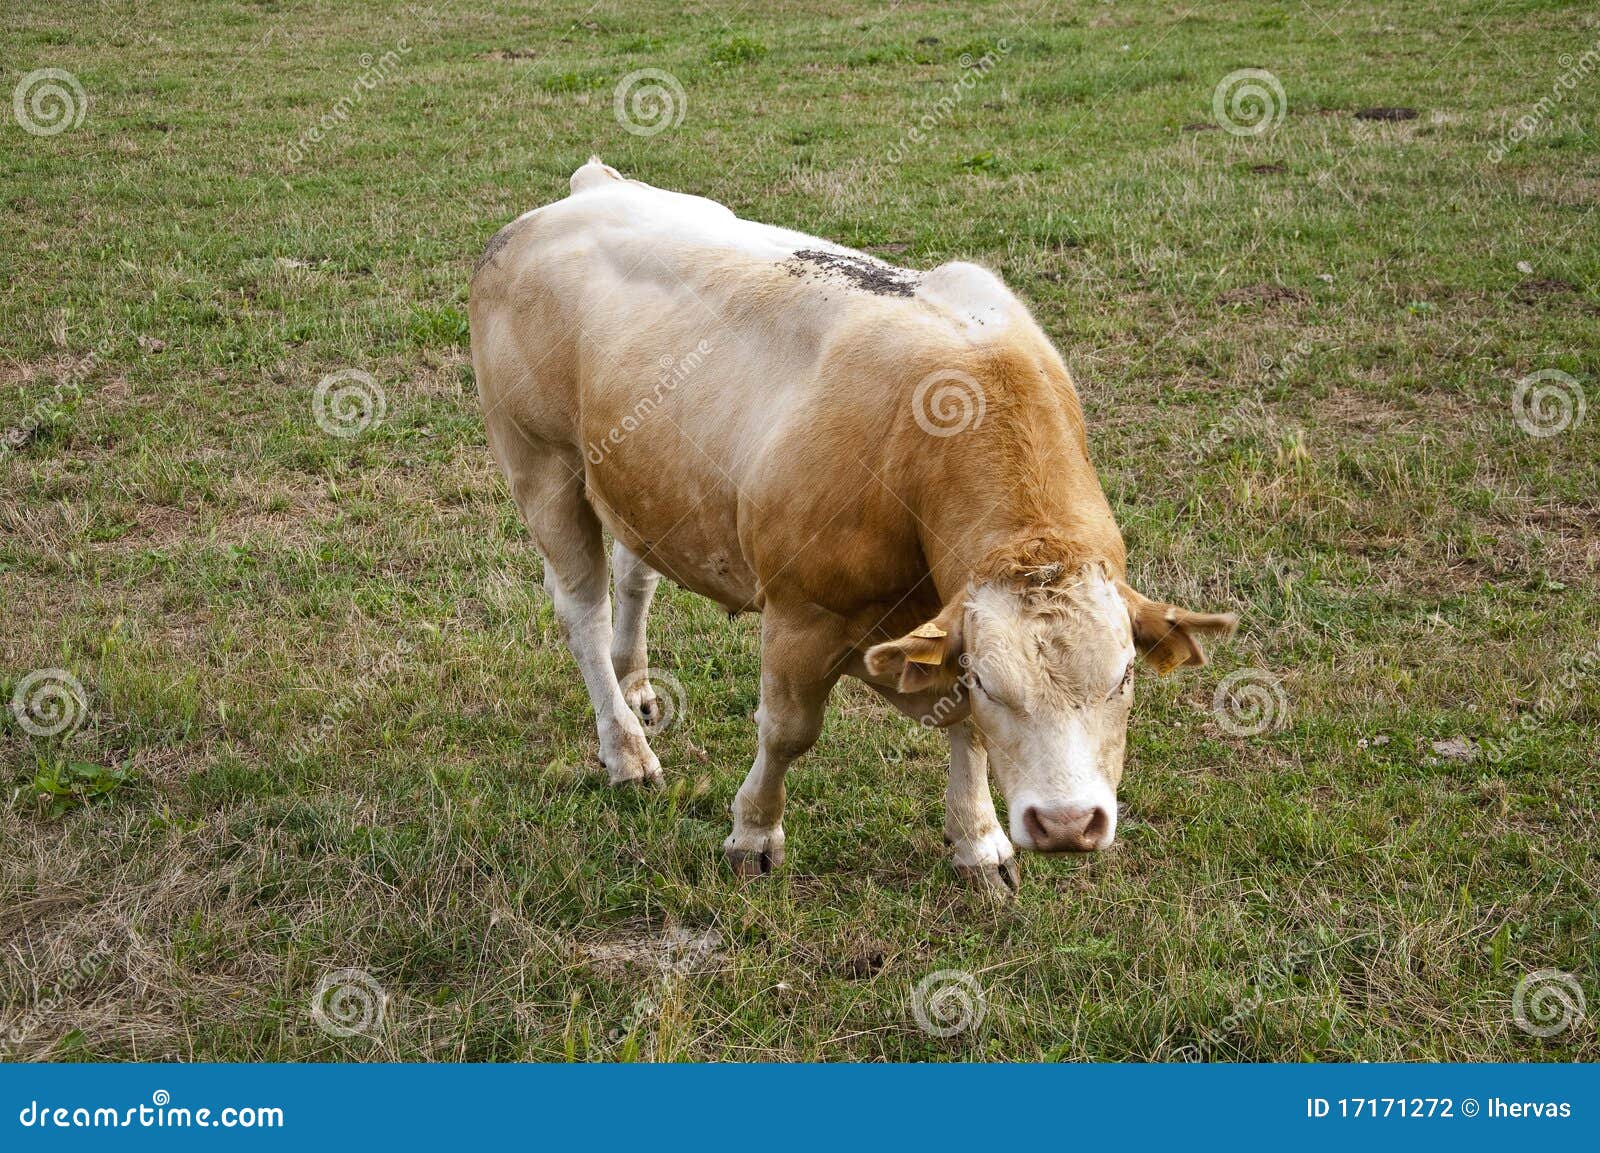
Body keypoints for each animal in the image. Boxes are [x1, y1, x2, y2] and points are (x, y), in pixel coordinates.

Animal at [468, 157, 1237, 894]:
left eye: (1124, 677)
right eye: (993, 682)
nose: (1068, 822)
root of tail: (585, 192)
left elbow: (965, 733)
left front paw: (979, 842)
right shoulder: (803, 615)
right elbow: (788, 732)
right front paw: (754, 835)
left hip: (641, 472)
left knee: (636, 574)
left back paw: (636, 688)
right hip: (542, 463)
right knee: (583, 612)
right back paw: (625, 747)